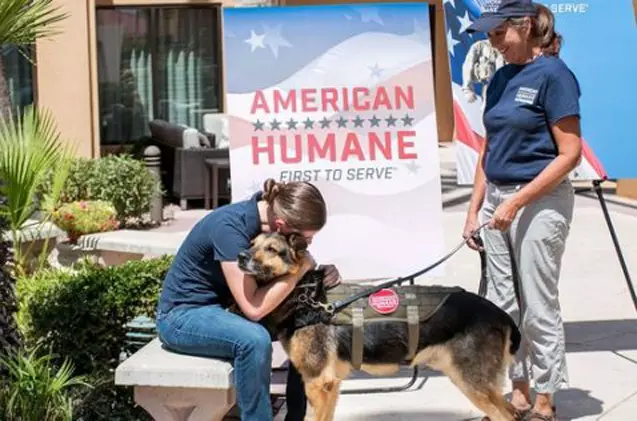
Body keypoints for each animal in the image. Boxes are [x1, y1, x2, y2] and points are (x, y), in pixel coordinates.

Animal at [235, 231, 520, 418]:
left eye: (271, 249)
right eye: (252, 244)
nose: (239, 256)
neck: (305, 295)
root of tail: (500, 313)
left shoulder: (318, 384)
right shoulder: (331, 386)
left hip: (472, 383)